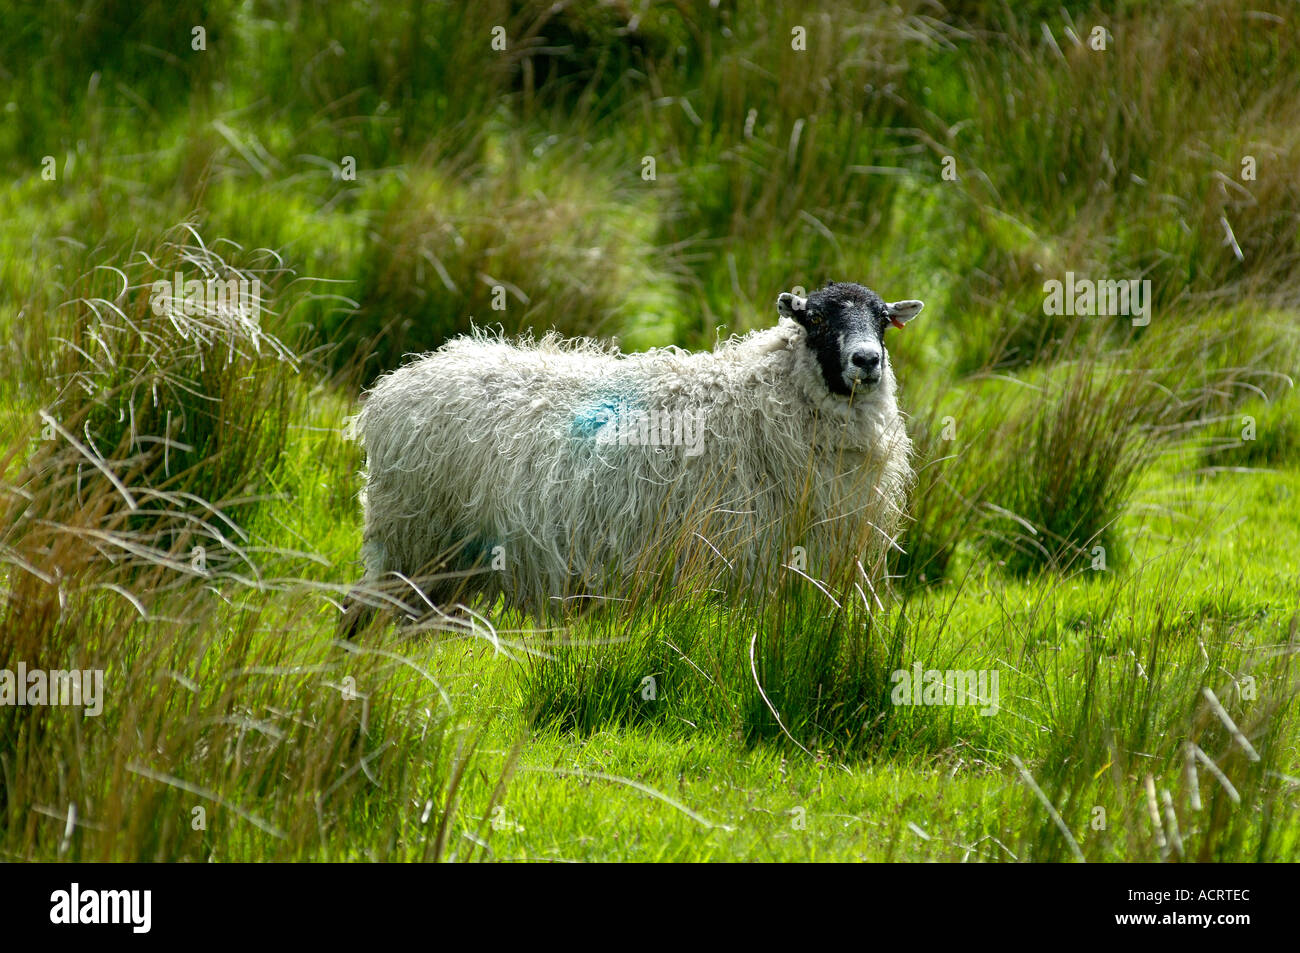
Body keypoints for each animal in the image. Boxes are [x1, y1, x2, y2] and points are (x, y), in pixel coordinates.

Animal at [342, 281, 922, 632]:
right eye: (818, 321)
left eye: (883, 320)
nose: (867, 361)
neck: (764, 396)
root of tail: (400, 382)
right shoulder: (751, 561)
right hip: (413, 536)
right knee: (360, 611)